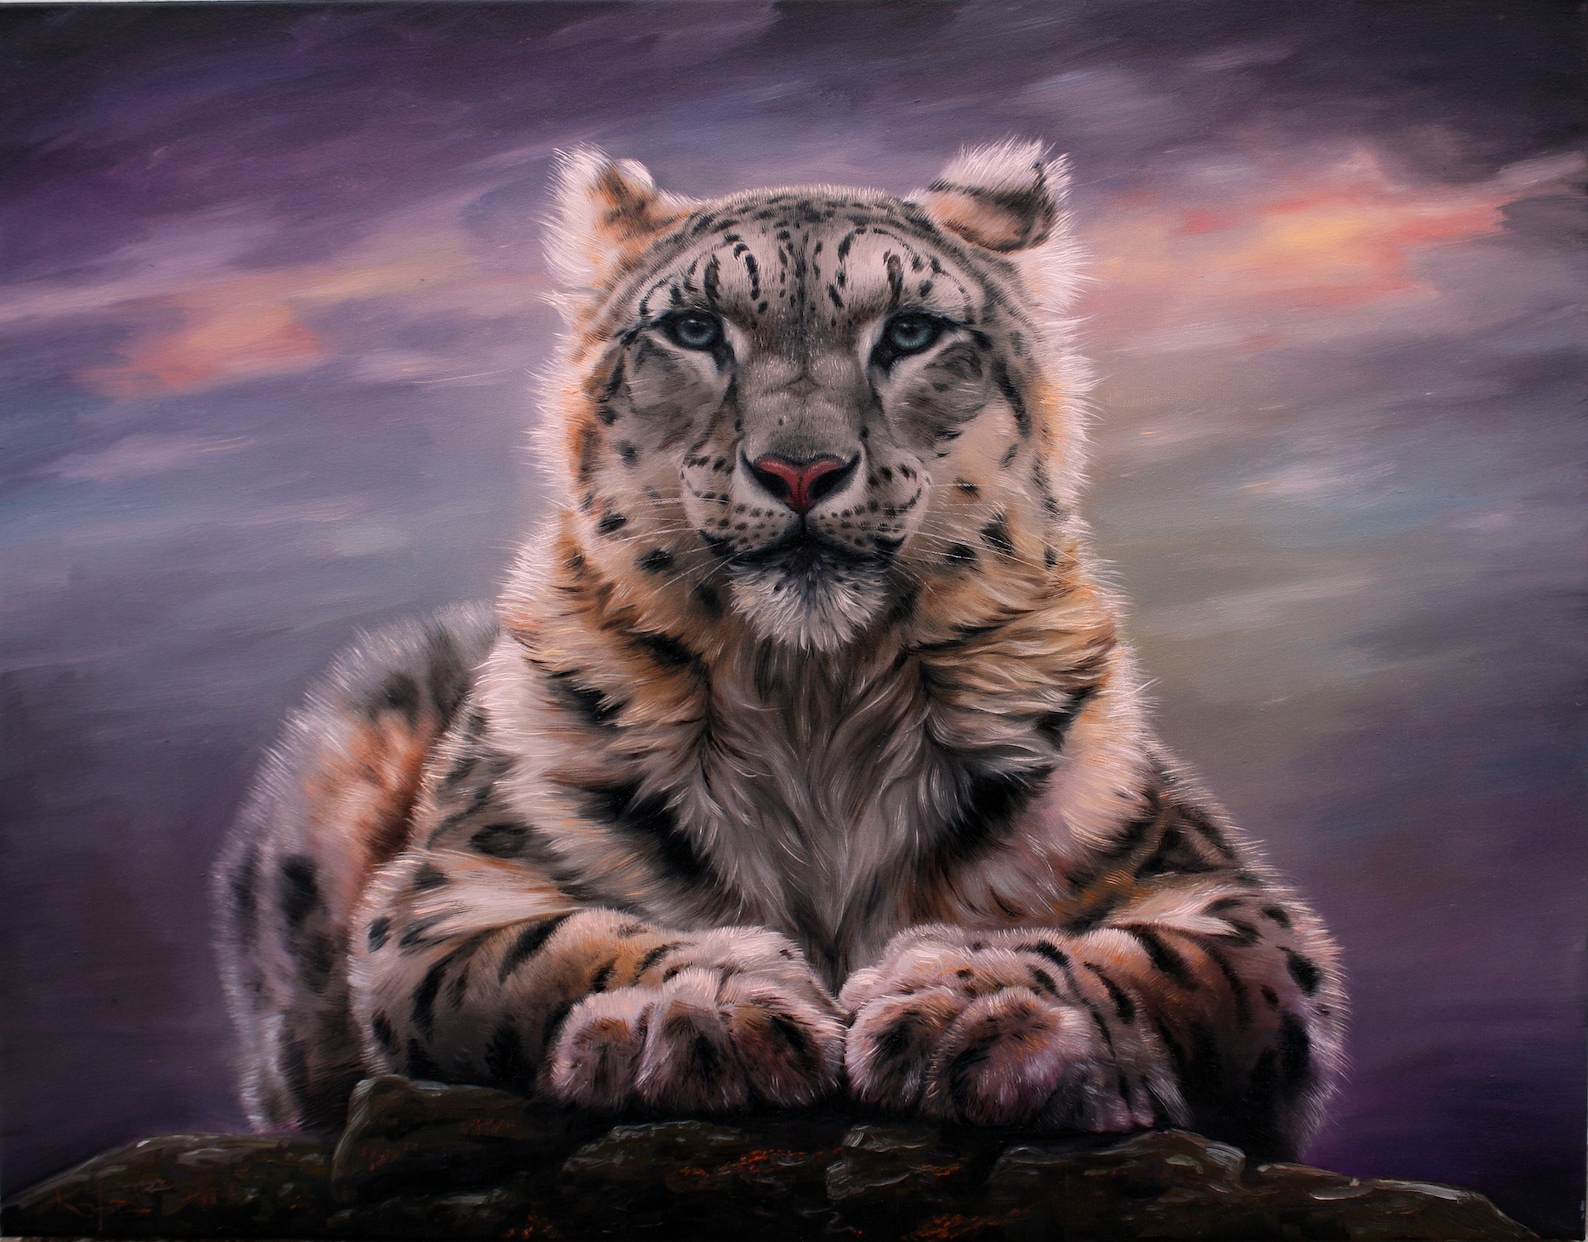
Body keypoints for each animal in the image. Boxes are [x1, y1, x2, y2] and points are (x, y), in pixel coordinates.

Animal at [214, 140, 1344, 1162]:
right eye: (693, 328)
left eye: (912, 331)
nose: (801, 469)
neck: (815, 702)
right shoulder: (451, 885)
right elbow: (546, 944)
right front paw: (703, 1007)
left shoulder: (1207, 881)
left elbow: (1165, 957)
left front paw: (969, 1000)